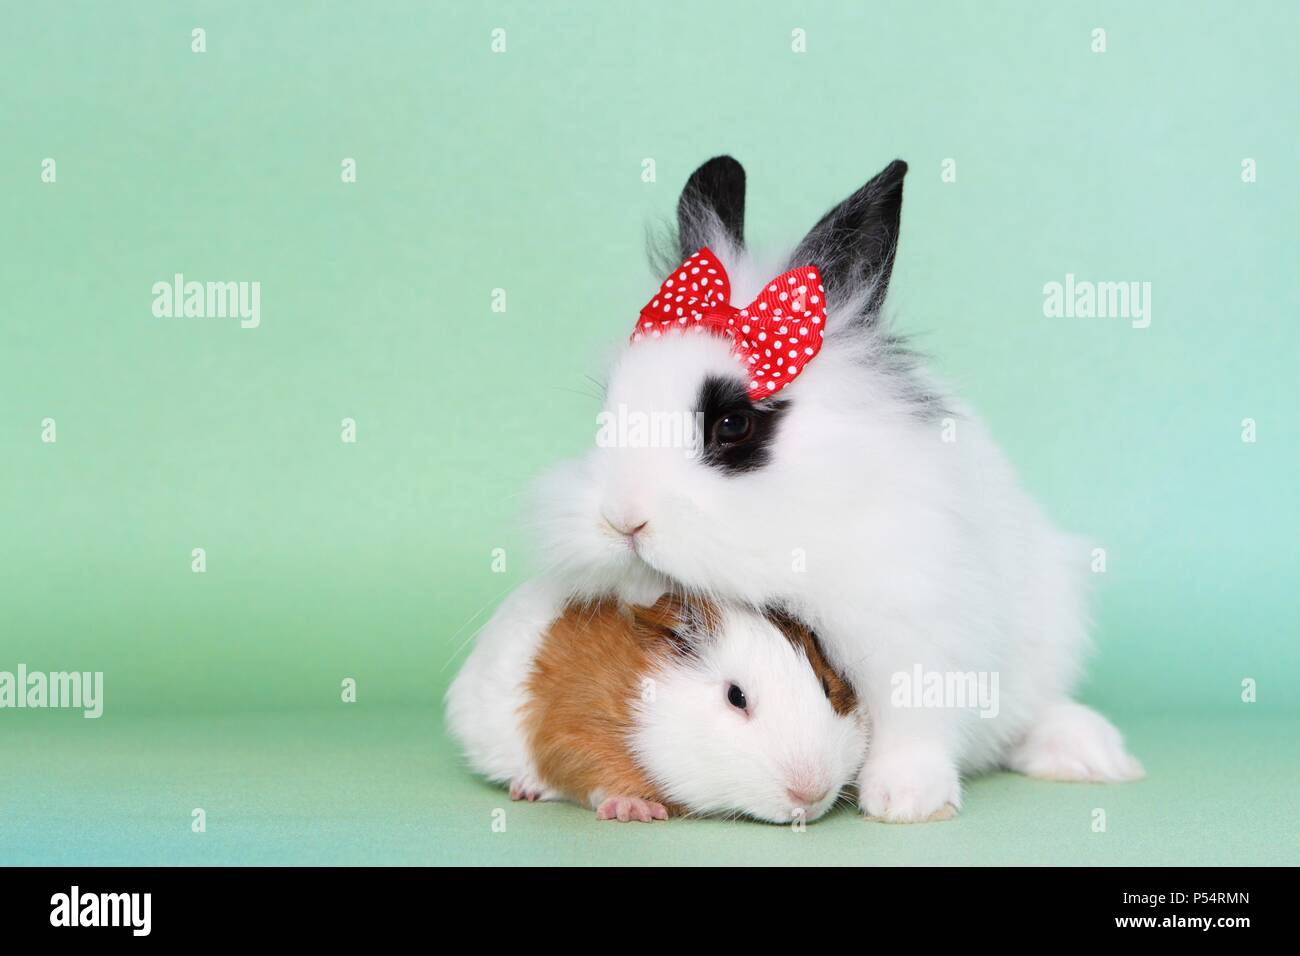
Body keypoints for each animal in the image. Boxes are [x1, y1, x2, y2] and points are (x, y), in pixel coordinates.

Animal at [524, 155, 1143, 822]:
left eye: (732, 424)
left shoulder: (914, 626)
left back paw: (1091, 756)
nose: (624, 521)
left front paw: (906, 801)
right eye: (609, 409)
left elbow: (914, 722)